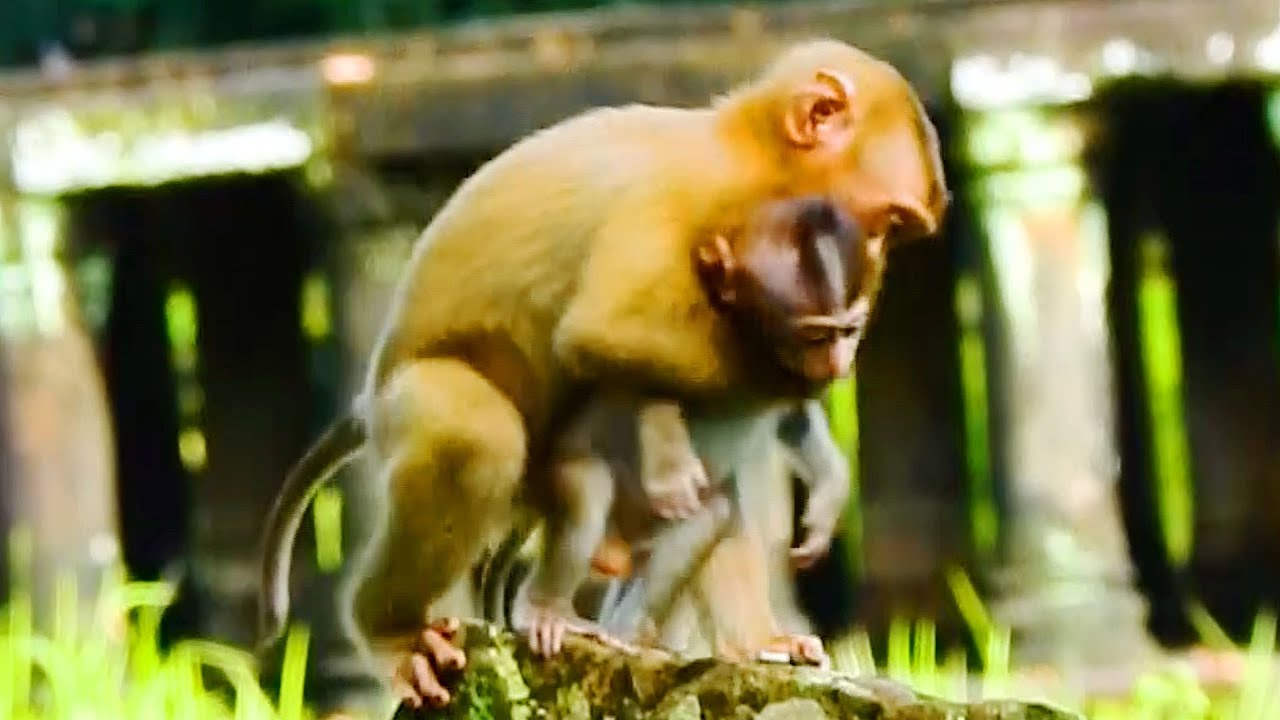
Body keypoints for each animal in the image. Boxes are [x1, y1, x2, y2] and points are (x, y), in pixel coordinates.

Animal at [257, 37, 947, 710]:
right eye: (889, 222)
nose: (873, 263)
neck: (743, 159)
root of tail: (370, 400)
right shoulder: (676, 208)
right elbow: (601, 333)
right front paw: (759, 386)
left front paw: (820, 466)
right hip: (417, 417)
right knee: (477, 438)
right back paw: (396, 630)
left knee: (714, 504)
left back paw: (753, 641)